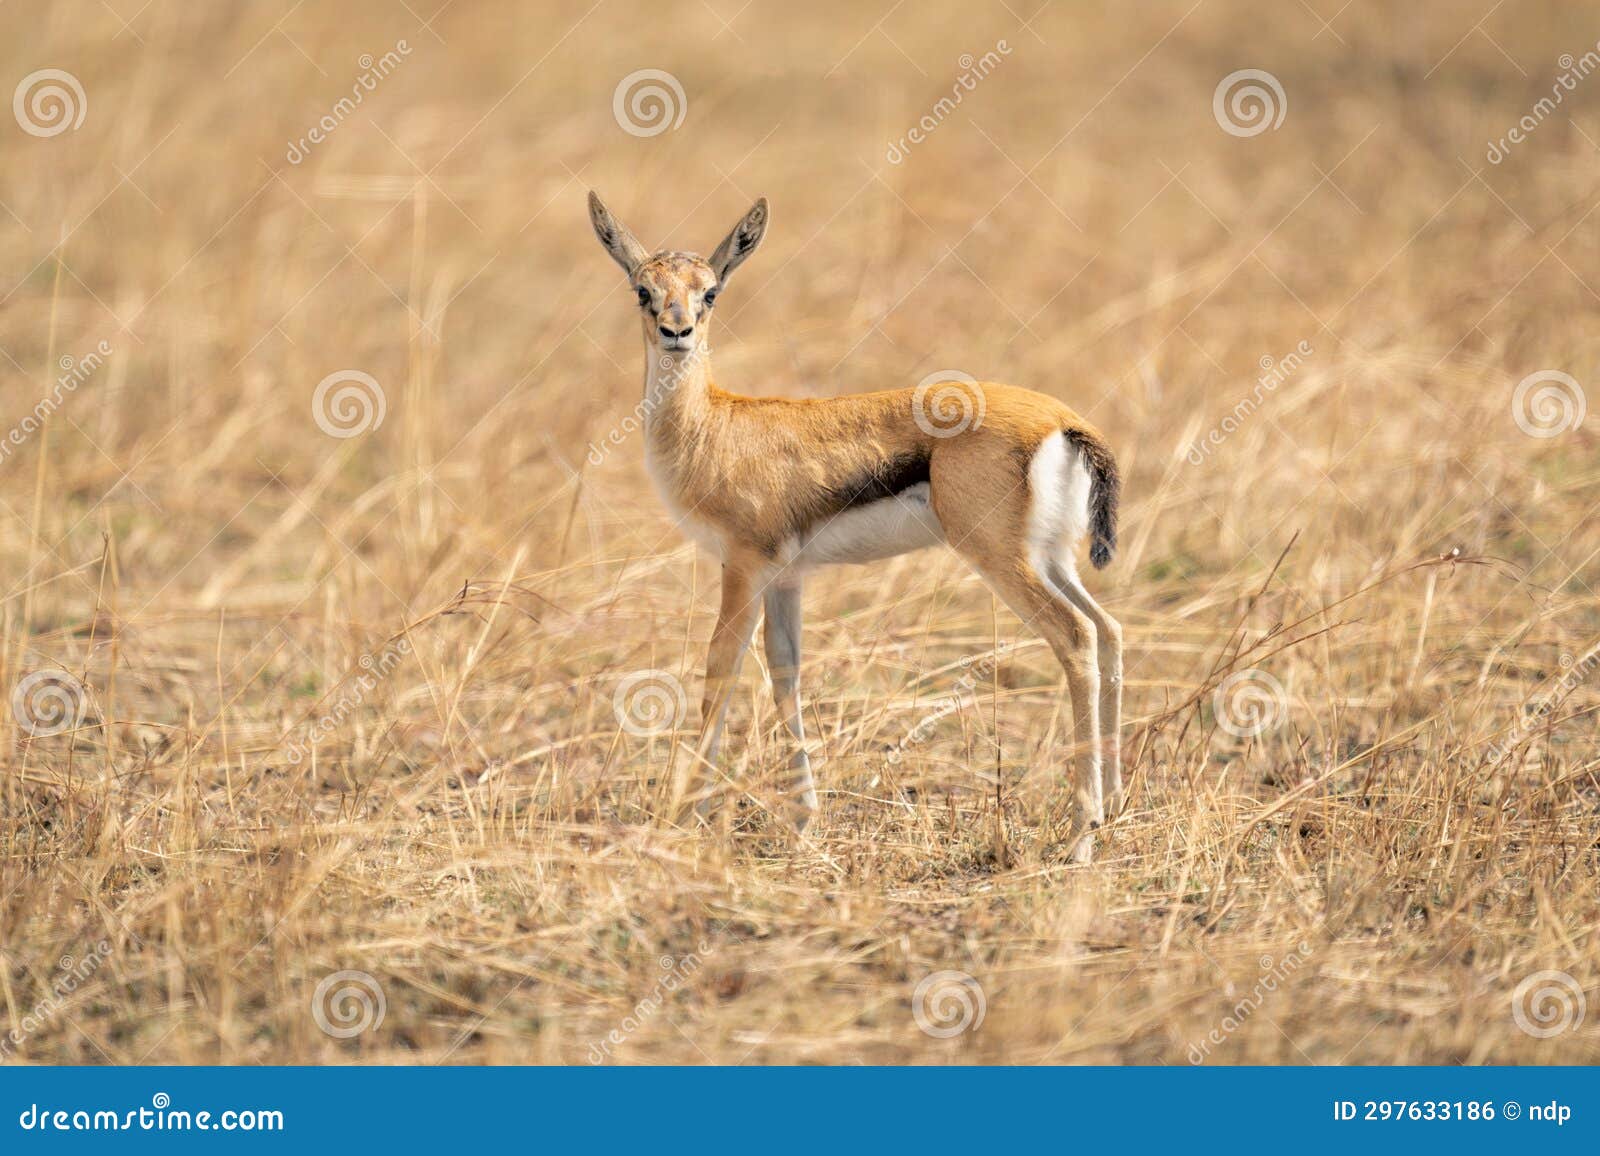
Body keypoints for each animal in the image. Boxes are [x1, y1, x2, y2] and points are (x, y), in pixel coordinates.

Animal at [588, 191, 1124, 862]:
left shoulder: (742, 567)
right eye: (644, 289)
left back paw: (1080, 835)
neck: (712, 427)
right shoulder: (786, 578)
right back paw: (1115, 804)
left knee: (1074, 637)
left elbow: (721, 672)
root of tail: (1065, 421)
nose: (677, 333)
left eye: (709, 291)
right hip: (1050, 558)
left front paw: (681, 817)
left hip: (1001, 559)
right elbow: (785, 673)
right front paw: (803, 821)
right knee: (1107, 631)